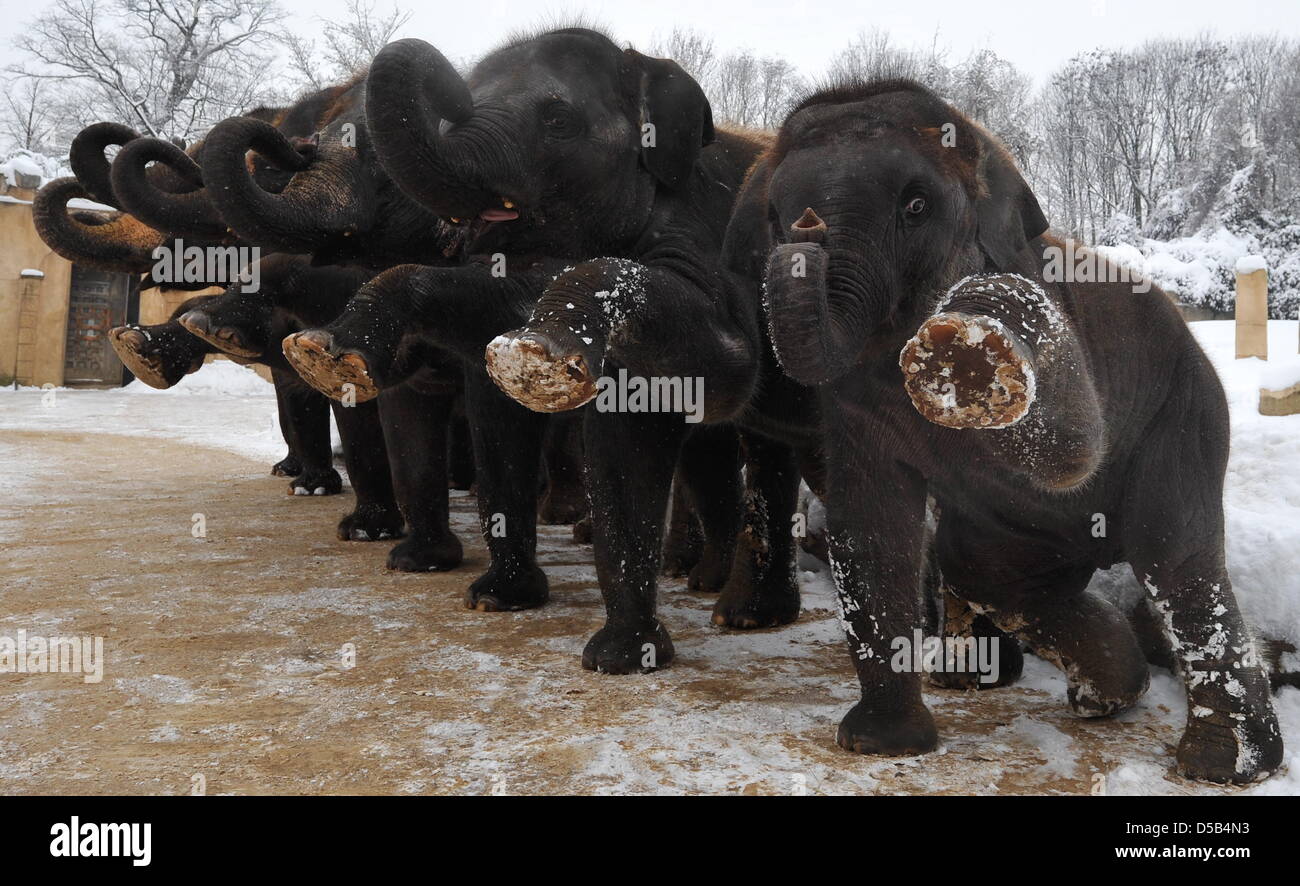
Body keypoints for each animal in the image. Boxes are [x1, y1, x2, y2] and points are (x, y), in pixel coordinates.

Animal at [727, 78, 1281, 785]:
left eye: (915, 207)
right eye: (775, 215)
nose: (805, 232)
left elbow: (1076, 444)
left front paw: (979, 326)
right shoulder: (851, 407)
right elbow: (870, 523)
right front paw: (879, 746)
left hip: (1185, 413)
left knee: (1176, 555)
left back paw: (1224, 766)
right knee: (987, 571)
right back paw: (1105, 697)